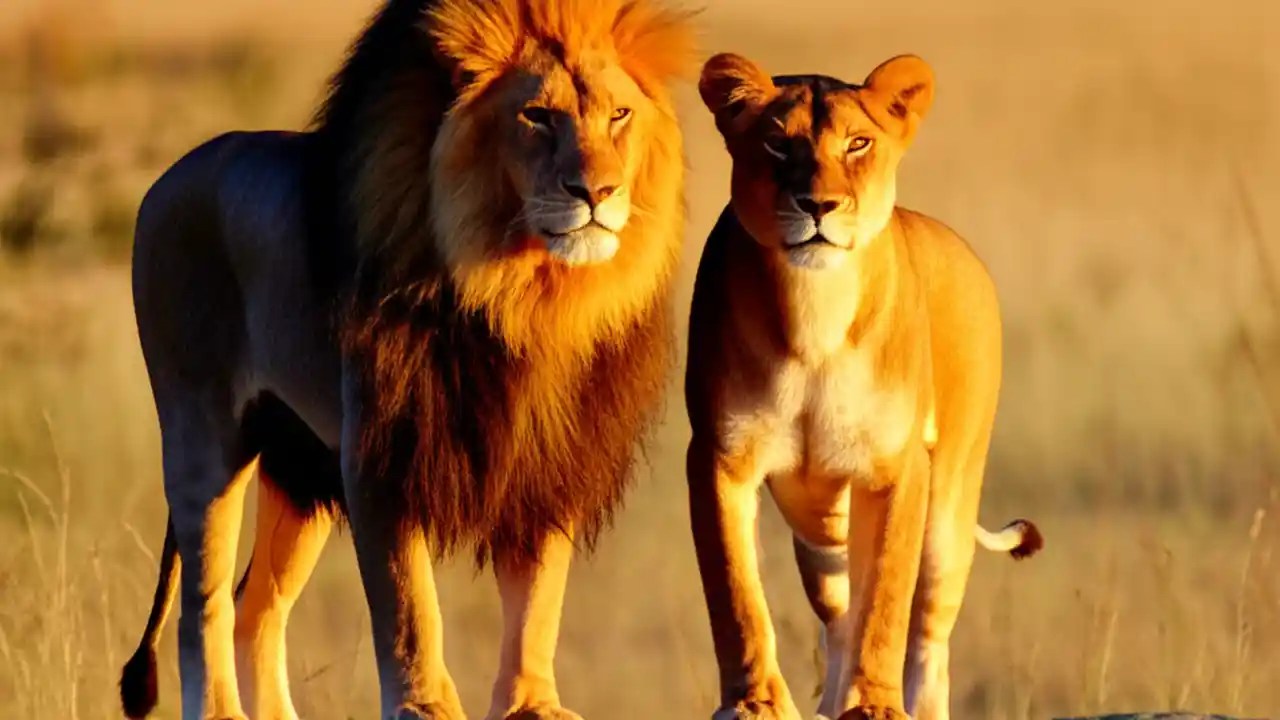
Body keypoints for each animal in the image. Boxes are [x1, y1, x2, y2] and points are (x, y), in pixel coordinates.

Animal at [116, 1, 694, 719]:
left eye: (618, 115)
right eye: (537, 116)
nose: (598, 191)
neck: (525, 298)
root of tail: (170, 176)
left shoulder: (547, 458)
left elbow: (539, 595)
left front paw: (531, 703)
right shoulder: (381, 452)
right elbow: (407, 604)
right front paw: (425, 706)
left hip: (299, 465)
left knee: (256, 609)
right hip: (203, 435)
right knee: (205, 609)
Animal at [684, 53, 1042, 720]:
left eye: (858, 144)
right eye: (777, 143)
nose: (818, 205)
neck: (814, 314)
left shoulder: (897, 467)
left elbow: (887, 602)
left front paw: (874, 704)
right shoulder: (720, 457)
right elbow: (735, 593)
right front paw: (755, 703)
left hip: (949, 508)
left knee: (928, 637)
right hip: (821, 533)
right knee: (838, 619)